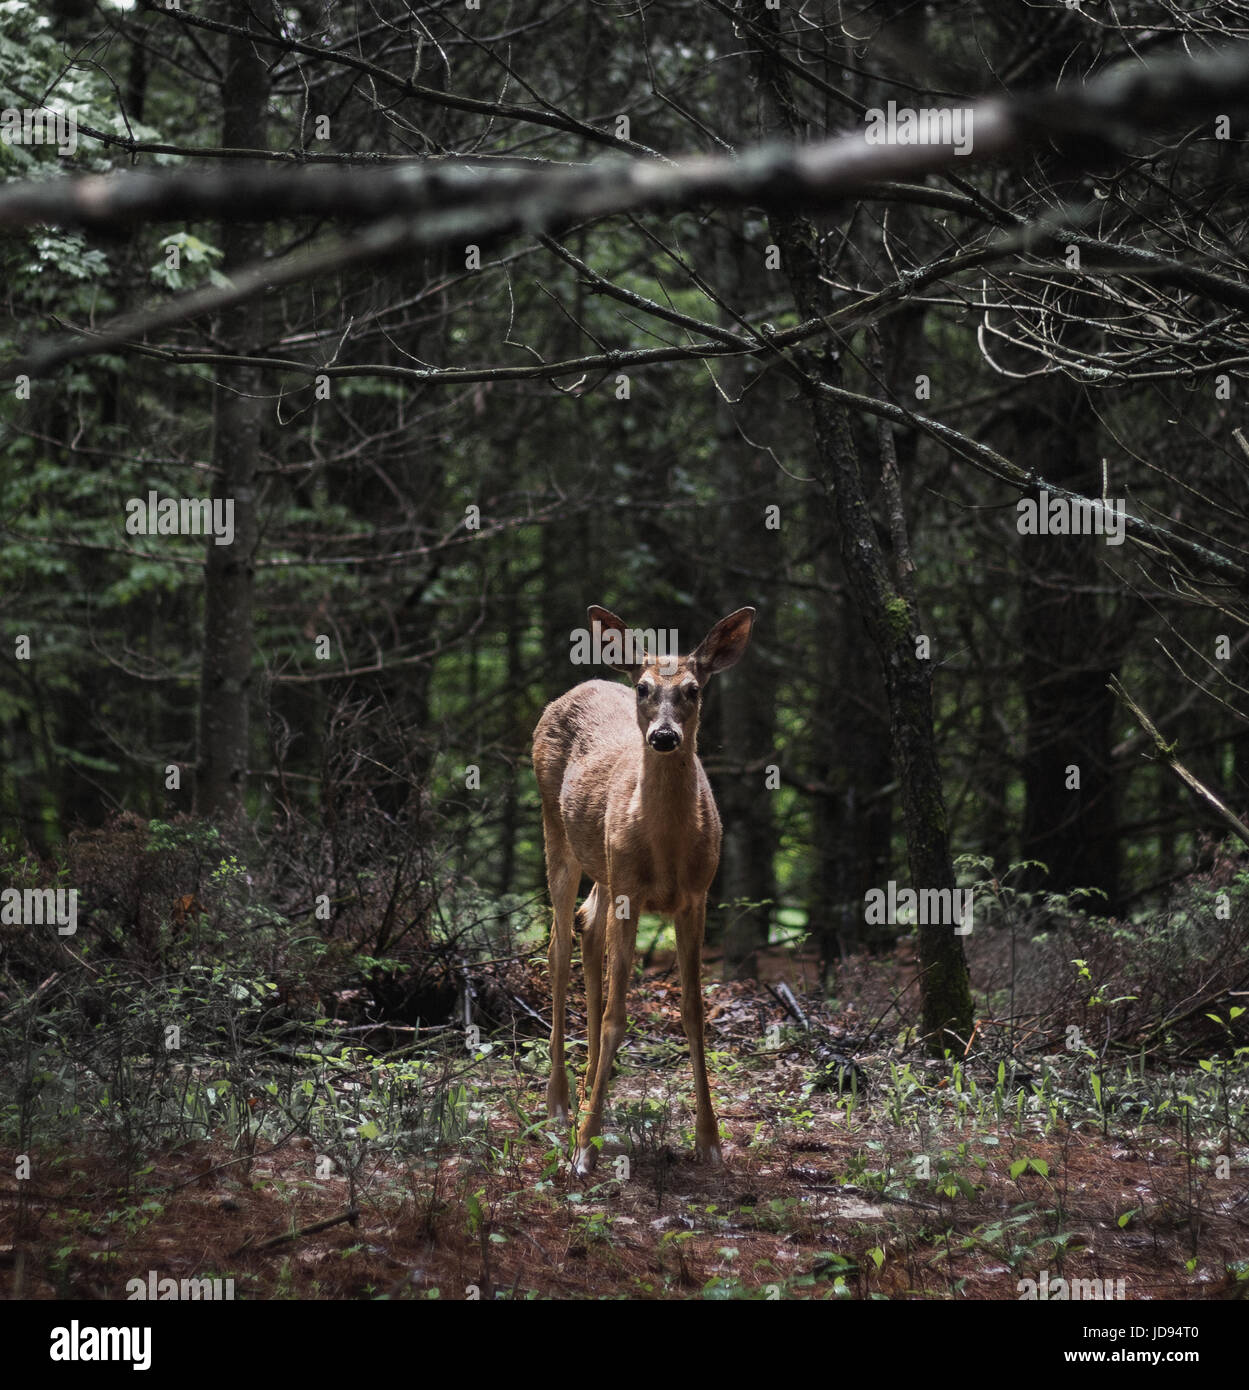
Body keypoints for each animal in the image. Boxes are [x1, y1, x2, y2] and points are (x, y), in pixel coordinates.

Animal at [533, 604, 755, 1174]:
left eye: (694, 689)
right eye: (644, 688)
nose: (664, 736)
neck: (667, 849)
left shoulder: (697, 896)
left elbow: (695, 1014)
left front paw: (709, 1140)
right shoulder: (632, 892)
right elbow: (617, 1014)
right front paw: (584, 1148)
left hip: (604, 865)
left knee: (588, 927)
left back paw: (592, 1084)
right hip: (556, 830)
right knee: (559, 945)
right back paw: (560, 1102)